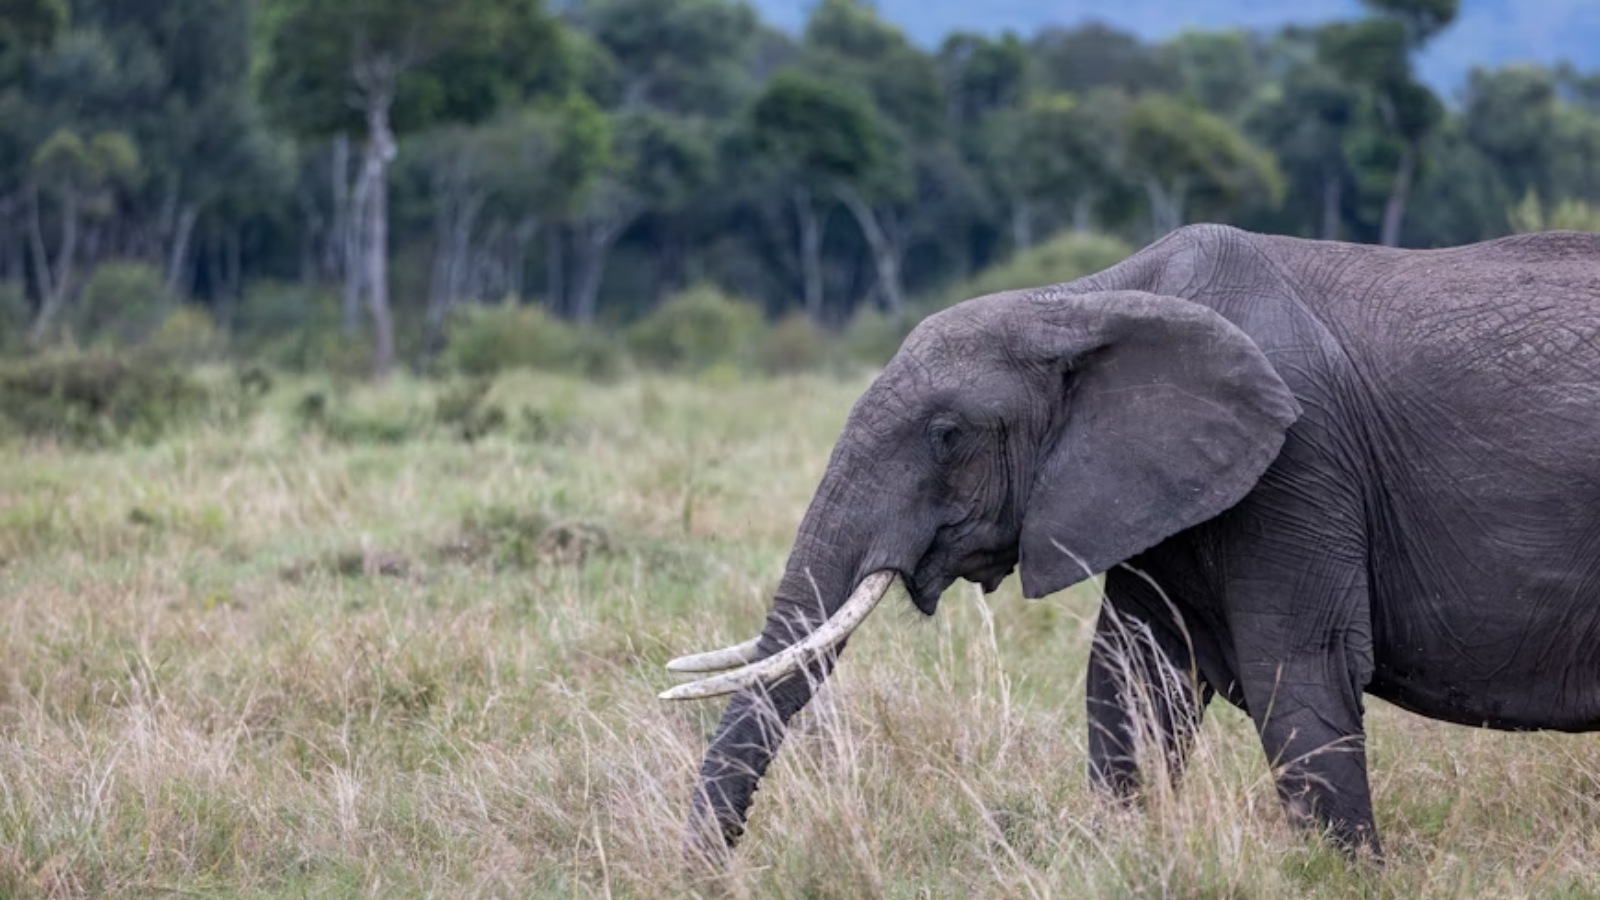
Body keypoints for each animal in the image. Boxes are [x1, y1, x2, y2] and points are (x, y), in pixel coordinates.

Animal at [659, 222, 1600, 862]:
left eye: (946, 436)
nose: (704, 872)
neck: (1083, 300)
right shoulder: (1156, 485)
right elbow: (1131, 679)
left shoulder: (1301, 462)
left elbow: (1299, 669)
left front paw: (1348, 876)